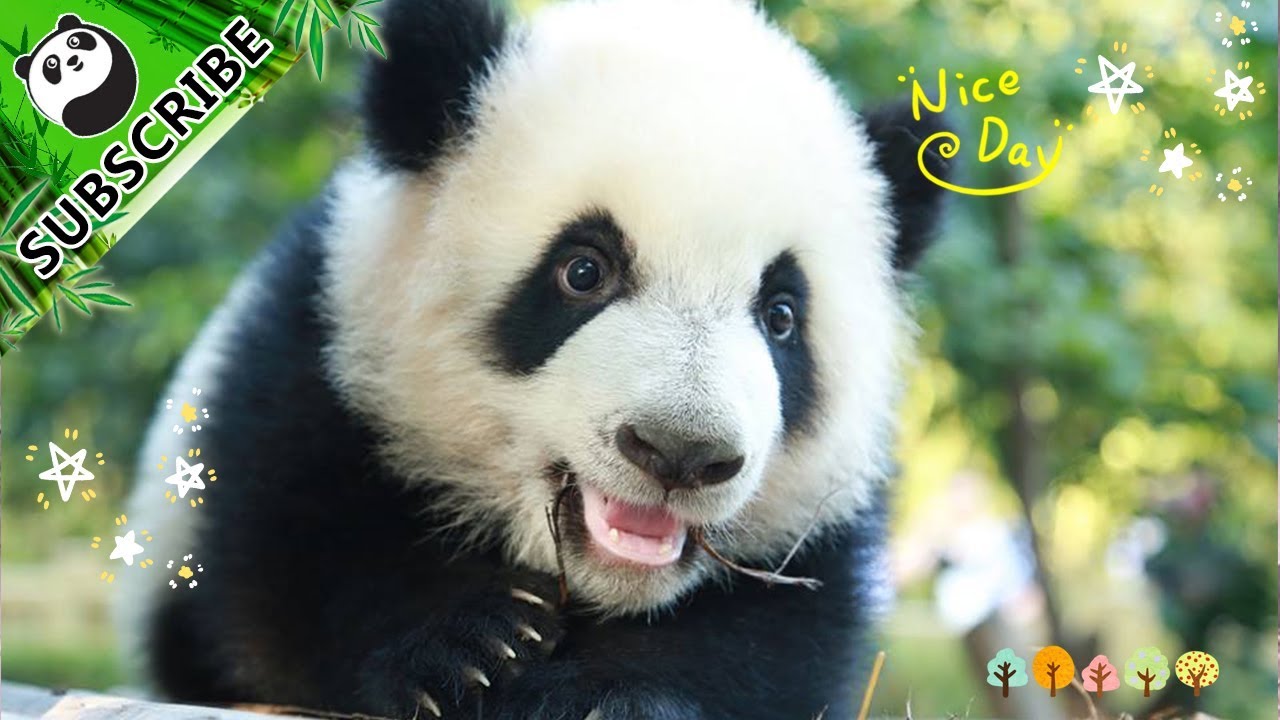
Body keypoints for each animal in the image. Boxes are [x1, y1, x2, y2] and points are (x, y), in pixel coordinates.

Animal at [120, 0, 950, 718]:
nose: (680, 451)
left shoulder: (822, 522)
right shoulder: (314, 356)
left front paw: (612, 694)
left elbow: (779, 644)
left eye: (780, 317)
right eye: (583, 270)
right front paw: (469, 646)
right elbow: (287, 575)